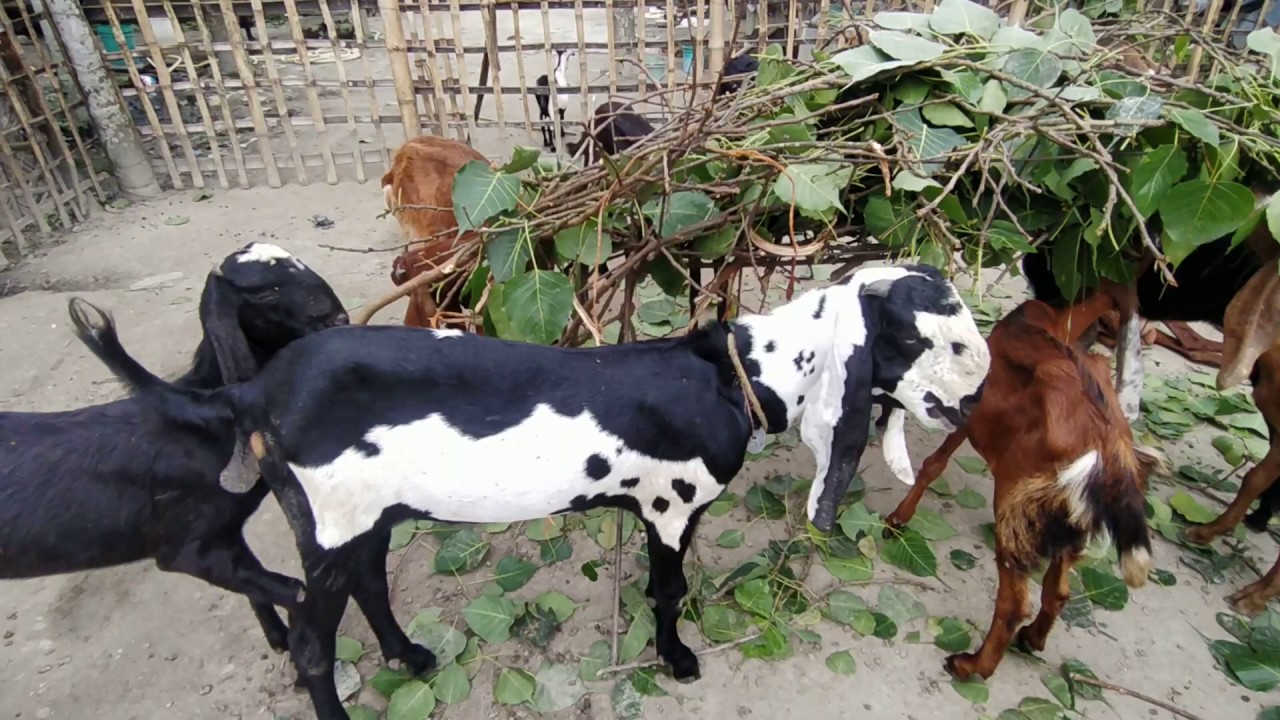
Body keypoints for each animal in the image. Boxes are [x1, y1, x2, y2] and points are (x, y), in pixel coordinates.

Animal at [0, 243, 347, 659]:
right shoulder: (187, 548)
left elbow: (259, 590)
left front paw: (278, 639)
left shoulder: (225, 534)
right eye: (265, 293)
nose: (338, 319)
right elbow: (295, 592)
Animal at [71, 263, 988, 720]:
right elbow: (667, 591)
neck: (734, 374)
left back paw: (411, 657)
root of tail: (256, 392)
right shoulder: (671, 506)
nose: (976, 403)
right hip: (326, 526)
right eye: (934, 334)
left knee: (370, 584)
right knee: (307, 645)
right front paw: (679, 659)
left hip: (365, 518)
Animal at [883, 282, 1164, 680]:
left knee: (1014, 602)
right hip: (1068, 524)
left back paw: (972, 665)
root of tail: (1109, 446)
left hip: (1016, 507)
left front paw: (898, 520)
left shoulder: (967, 414)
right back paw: (1033, 639)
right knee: (1058, 592)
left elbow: (933, 465)